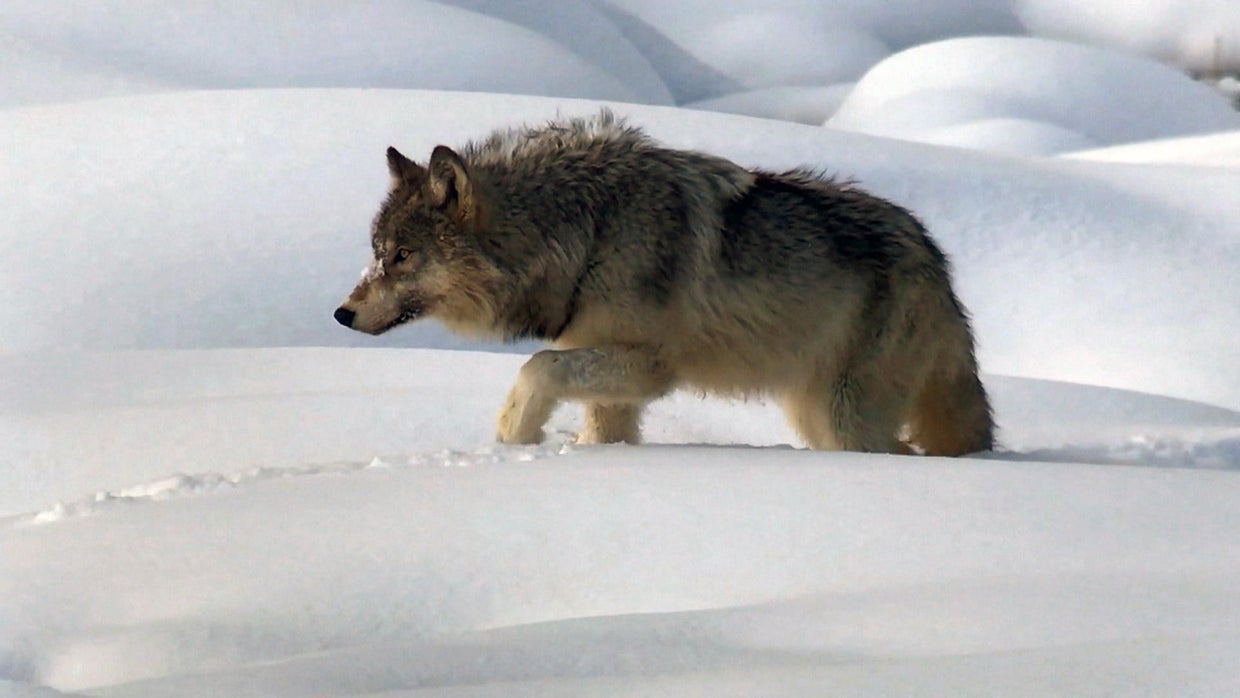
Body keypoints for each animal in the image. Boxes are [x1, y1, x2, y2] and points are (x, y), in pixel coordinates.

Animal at [334, 111, 994, 455]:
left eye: (401, 257)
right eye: (375, 254)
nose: (342, 313)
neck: (587, 234)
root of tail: (935, 258)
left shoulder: (649, 366)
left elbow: (537, 367)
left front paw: (513, 432)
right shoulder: (608, 380)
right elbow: (596, 426)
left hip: (844, 417)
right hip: (816, 414)